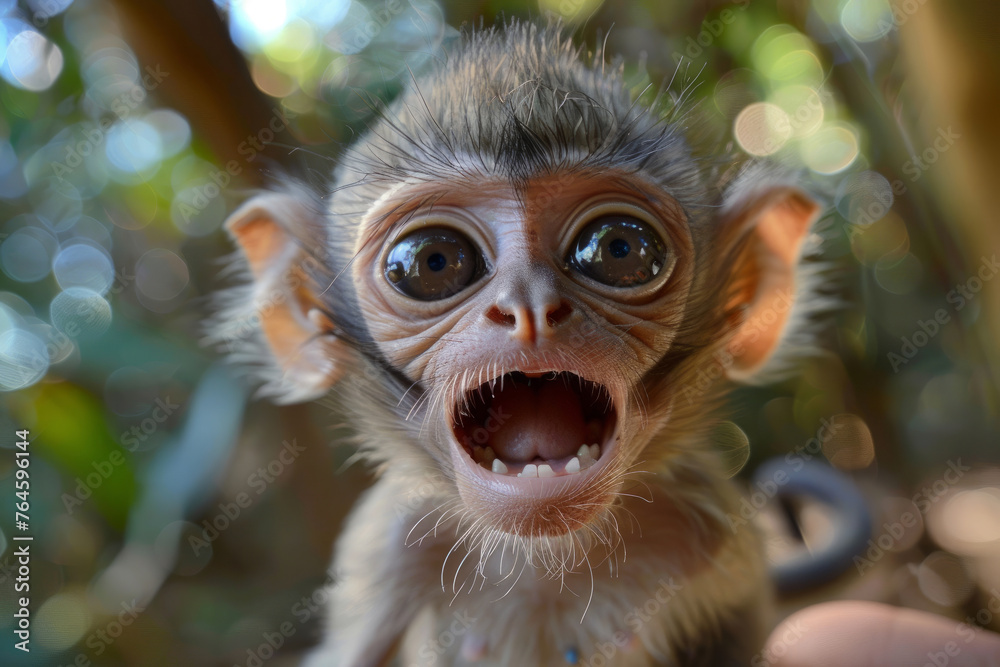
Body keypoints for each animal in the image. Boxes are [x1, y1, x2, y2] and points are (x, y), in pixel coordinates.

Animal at [209, 20, 837, 667]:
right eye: (433, 261)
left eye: (619, 248)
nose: (530, 309)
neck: (545, 555)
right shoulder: (386, 549)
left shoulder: (713, 535)